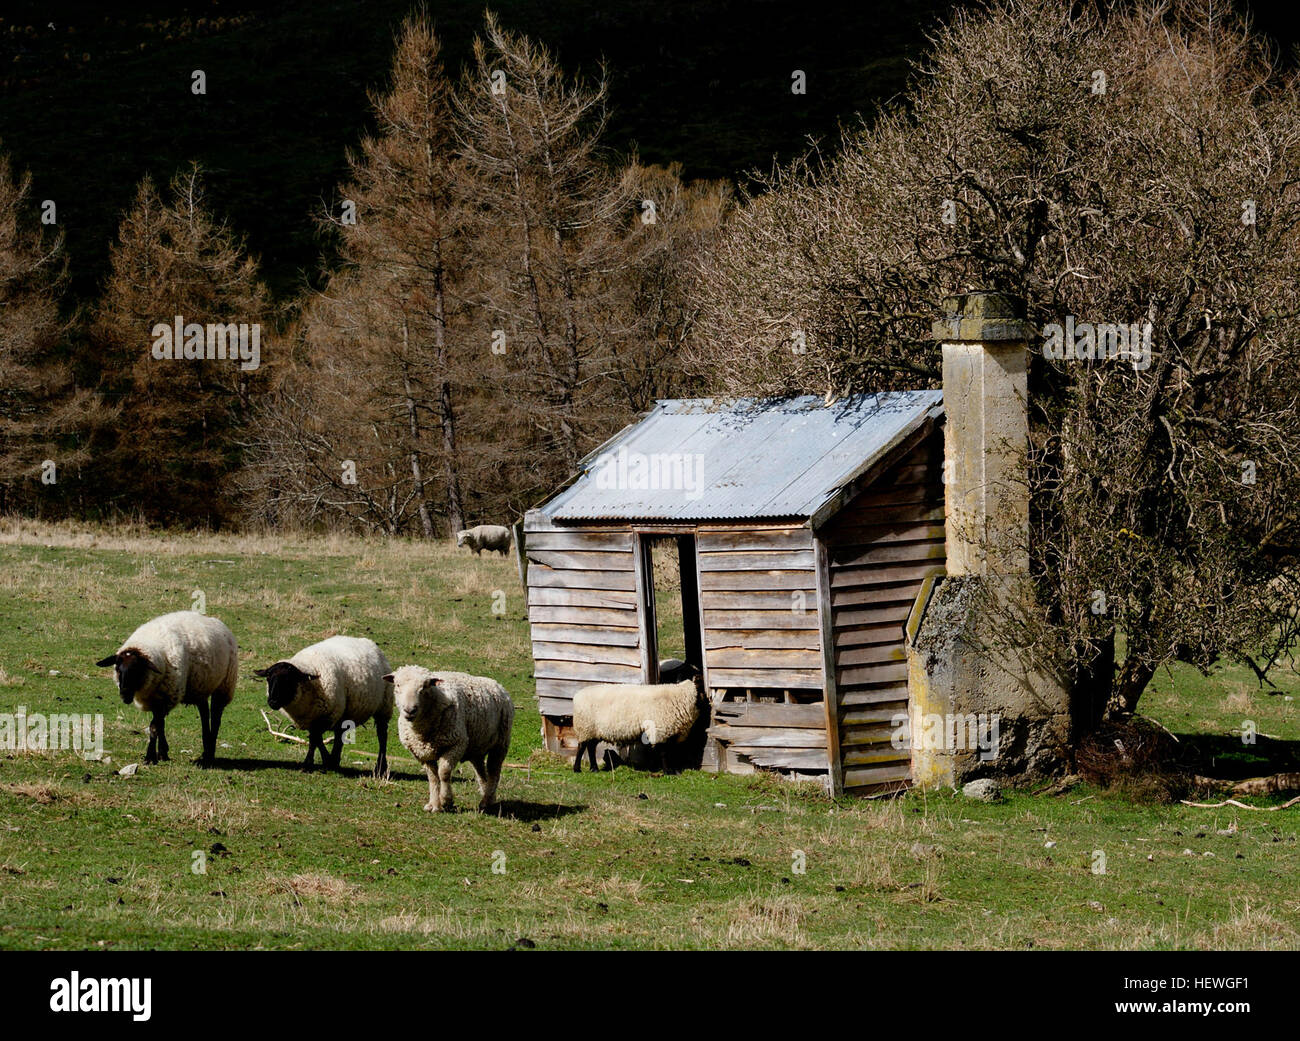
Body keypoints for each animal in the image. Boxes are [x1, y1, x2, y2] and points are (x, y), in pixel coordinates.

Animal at [95, 611, 238, 766]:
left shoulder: (167, 697)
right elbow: (160, 725)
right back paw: (205, 751)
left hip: (224, 686)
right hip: (200, 687)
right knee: (204, 714)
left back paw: (210, 753)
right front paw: (163, 753)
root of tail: (216, 621)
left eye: (138, 670)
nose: (124, 695)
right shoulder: (156, 699)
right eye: (117, 668)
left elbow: (154, 726)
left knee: (216, 718)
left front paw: (150, 756)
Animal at [254, 636, 393, 776]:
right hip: (345, 712)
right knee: (339, 734)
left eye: (289, 680)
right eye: (268, 679)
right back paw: (335, 761)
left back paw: (381, 768)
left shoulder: (327, 716)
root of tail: (369, 642)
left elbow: (314, 739)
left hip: (384, 706)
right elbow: (317, 738)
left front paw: (308, 764)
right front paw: (327, 761)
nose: (272, 702)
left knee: (382, 736)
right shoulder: (314, 718)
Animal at [385, 665, 514, 813]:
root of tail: (499, 685)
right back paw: (487, 797)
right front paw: (434, 804)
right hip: (476, 748)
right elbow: (433, 778)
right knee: (481, 772)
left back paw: (486, 801)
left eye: (424, 687)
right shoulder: (422, 754)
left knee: (494, 772)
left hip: (500, 744)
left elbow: (444, 773)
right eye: (397, 685)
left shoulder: (456, 744)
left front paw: (446, 800)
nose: (409, 710)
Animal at [571, 678, 702, 774]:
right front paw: (667, 771)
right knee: (582, 746)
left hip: (593, 730)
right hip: (585, 727)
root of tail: (577, 696)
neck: (677, 697)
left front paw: (672, 770)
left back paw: (594, 769)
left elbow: (670, 752)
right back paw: (577, 769)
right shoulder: (659, 730)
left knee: (591, 747)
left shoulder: (670, 732)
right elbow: (664, 752)